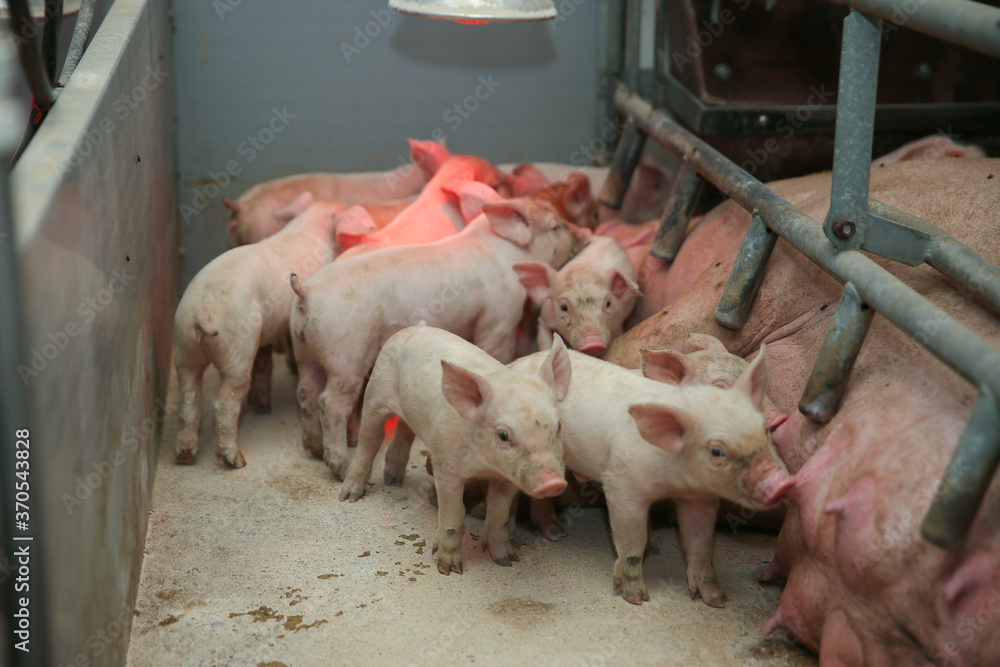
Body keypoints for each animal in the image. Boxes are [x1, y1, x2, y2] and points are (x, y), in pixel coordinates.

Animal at [173, 201, 373, 468]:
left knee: (188, 398)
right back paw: (236, 461)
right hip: (236, 345)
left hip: (184, 347)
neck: (309, 227)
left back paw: (185, 456)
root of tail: (201, 311)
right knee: (225, 401)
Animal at [289, 194, 591, 479]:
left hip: (305, 350)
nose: (587, 232)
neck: (505, 253)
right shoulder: (500, 317)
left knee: (305, 391)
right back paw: (339, 467)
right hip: (346, 352)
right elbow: (495, 347)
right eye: (555, 226)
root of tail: (307, 294)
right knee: (330, 401)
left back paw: (313, 448)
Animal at [339, 326, 570, 573]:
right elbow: (455, 512)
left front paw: (507, 560)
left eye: (558, 426)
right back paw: (350, 496)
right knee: (370, 439)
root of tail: (414, 327)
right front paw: (449, 569)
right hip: (376, 390)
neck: (484, 465)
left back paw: (395, 481)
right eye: (503, 435)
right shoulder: (445, 466)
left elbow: (500, 513)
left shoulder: (507, 480)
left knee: (404, 431)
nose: (553, 482)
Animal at [508, 345, 793, 605]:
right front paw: (637, 598)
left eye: (762, 431)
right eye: (717, 451)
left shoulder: (700, 497)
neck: (675, 481)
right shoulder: (621, 485)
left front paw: (717, 600)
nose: (784, 483)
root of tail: (513, 364)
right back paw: (548, 536)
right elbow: (631, 543)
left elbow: (700, 543)